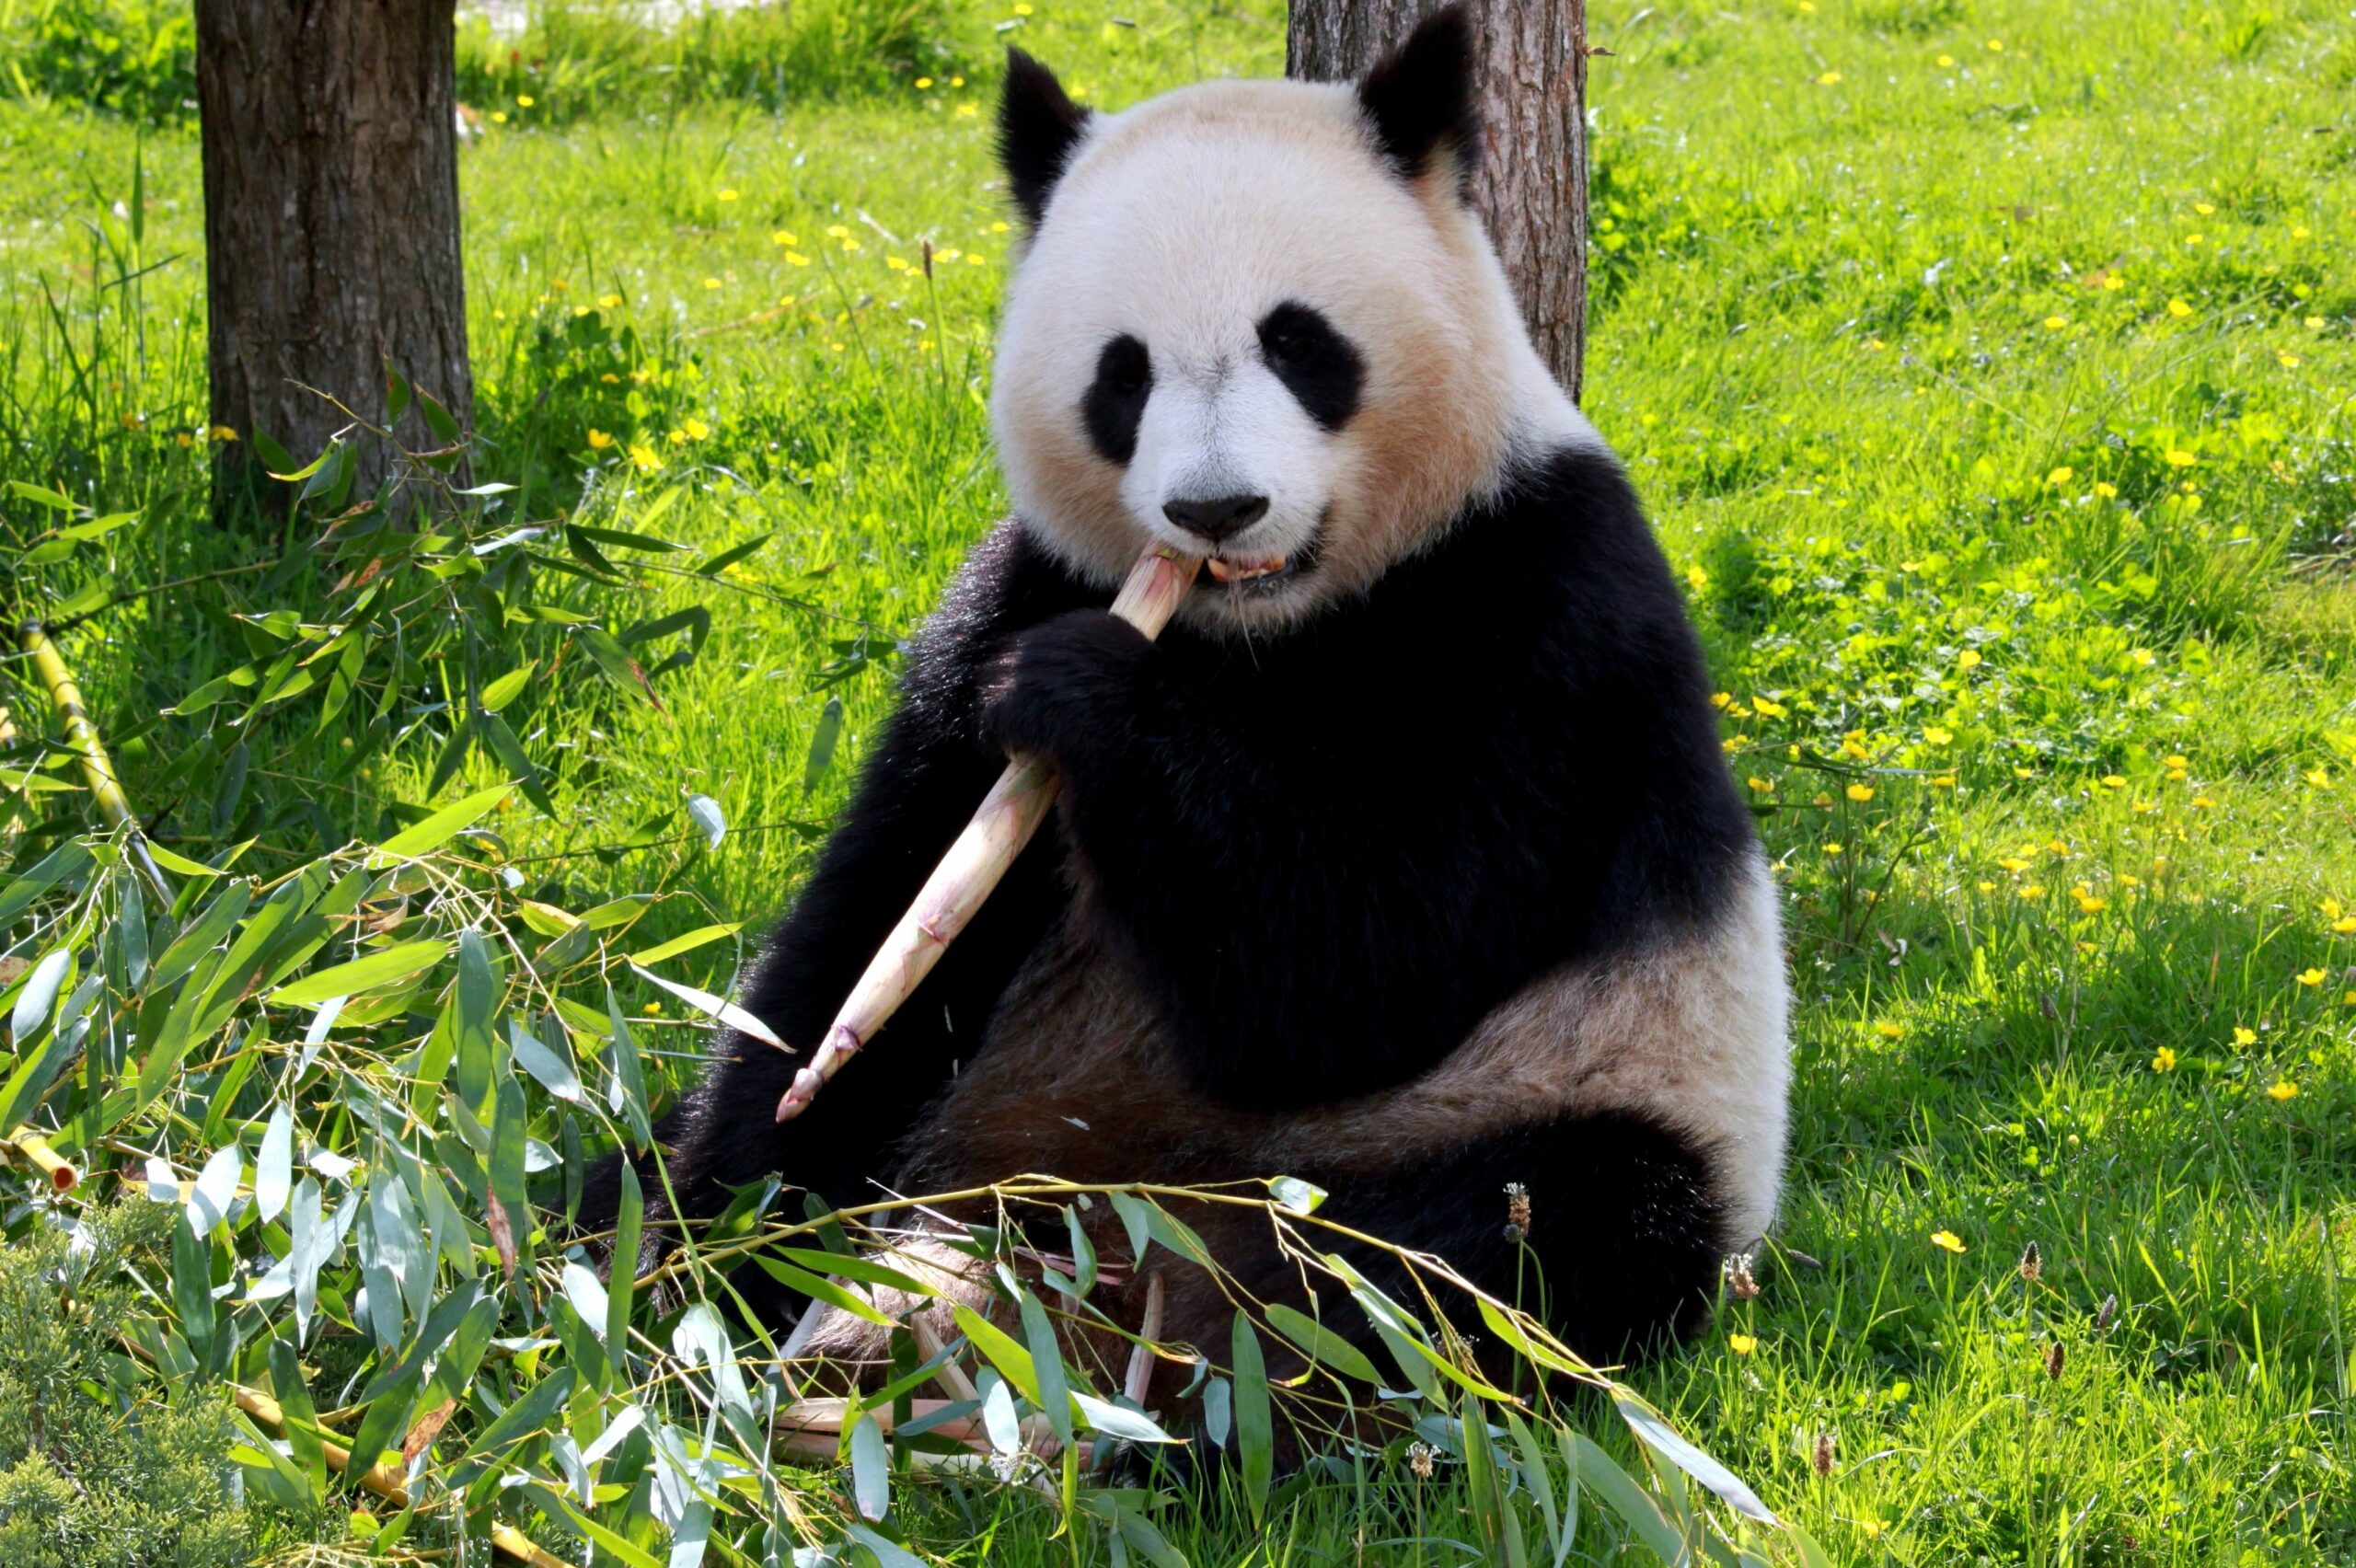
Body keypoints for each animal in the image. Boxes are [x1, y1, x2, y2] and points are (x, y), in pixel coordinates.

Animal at [597, 7, 1790, 1401]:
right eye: (1123, 375)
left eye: (1300, 342)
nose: (1216, 509)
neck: (1257, 631)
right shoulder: (1022, 584)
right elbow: (874, 926)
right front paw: (714, 1230)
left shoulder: (1538, 607)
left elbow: (1349, 973)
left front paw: (1085, 695)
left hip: (1569, 1092)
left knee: (1507, 1249)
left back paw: (1182, 1368)